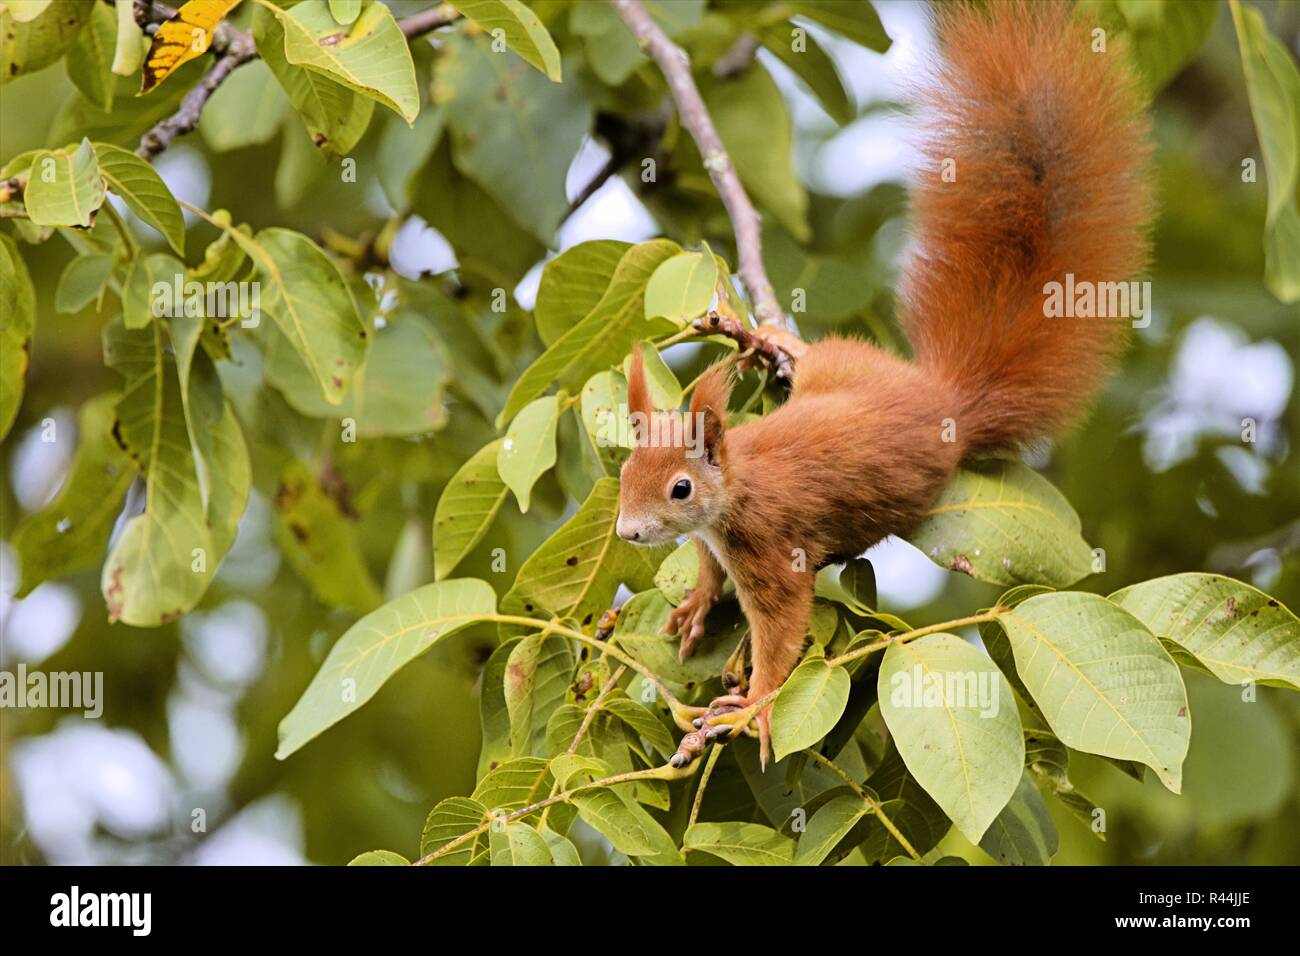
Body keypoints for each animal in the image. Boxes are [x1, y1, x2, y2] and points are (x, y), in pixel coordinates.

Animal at [615, 0, 1153, 766]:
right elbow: (709, 571)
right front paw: (695, 602)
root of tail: (942, 400)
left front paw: (753, 708)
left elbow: (783, 631)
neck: (735, 488)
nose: (629, 531)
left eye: (680, 488)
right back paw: (774, 340)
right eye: (624, 471)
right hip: (845, 363)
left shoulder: (771, 549)